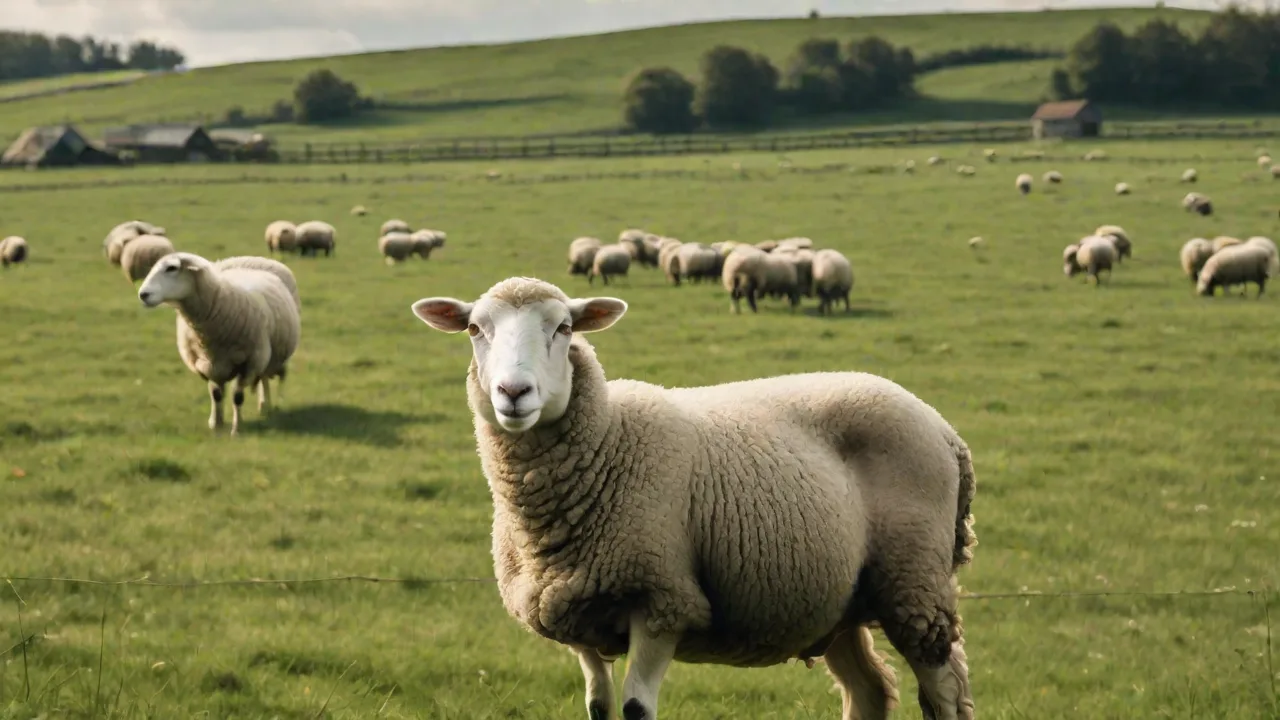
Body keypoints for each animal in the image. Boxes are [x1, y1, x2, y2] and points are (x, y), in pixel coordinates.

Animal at [137, 252, 301, 435]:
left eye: (172, 268)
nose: (143, 294)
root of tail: (251, 259)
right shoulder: (207, 364)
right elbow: (216, 394)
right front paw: (217, 424)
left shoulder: (249, 363)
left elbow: (237, 397)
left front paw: (237, 428)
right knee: (262, 378)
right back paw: (263, 406)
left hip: (266, 354)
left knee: (266, 377)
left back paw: (267, 405)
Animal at [408, 276, 978, 720]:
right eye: (475, 329)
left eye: (564, 328)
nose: (513, 393)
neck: (608, 440)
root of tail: (945, 429)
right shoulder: (576, 617)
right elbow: (598, 707)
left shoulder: (664, 601)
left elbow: (636, 709)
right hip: (842, 601)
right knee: (869, 693)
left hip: (915, 585)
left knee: (945, 693)